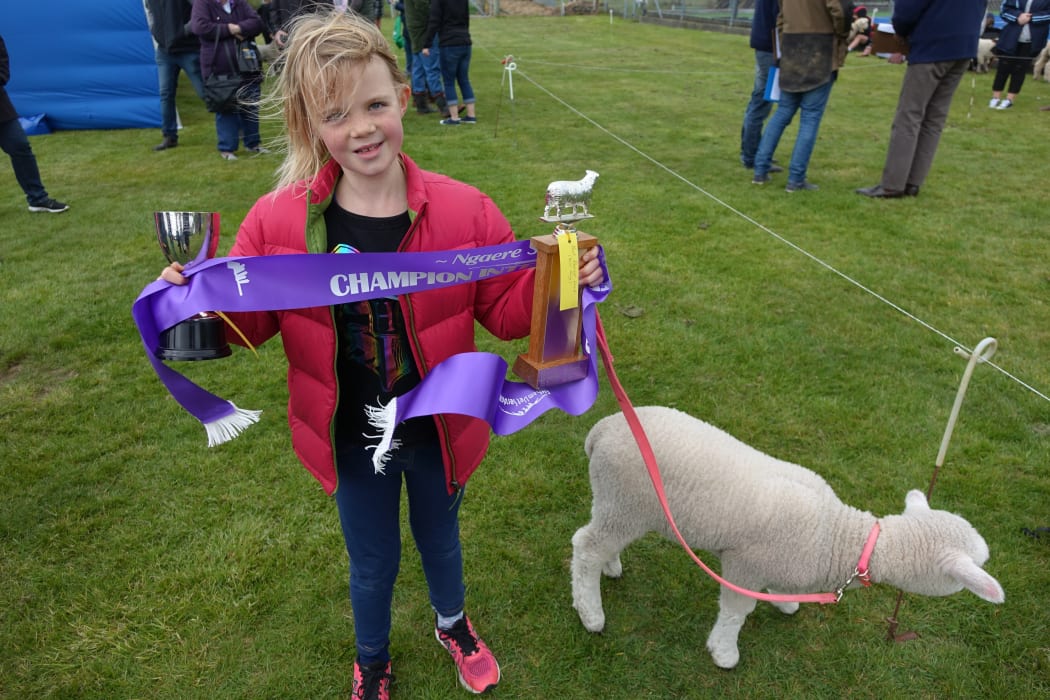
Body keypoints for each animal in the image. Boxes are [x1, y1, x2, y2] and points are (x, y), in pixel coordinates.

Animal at [571, 406, 1005, 669]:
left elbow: (780, 588)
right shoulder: (744, 564)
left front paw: (786, 602)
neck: (837, 535)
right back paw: (591, 612)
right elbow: (736, 611)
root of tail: (602, 428)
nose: (988, 556)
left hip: (621, 503)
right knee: (585, 547)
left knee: (601, 539)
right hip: (624, 499)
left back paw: (611, 567)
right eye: (978, 562)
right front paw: (724, 651)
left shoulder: (782, 560)